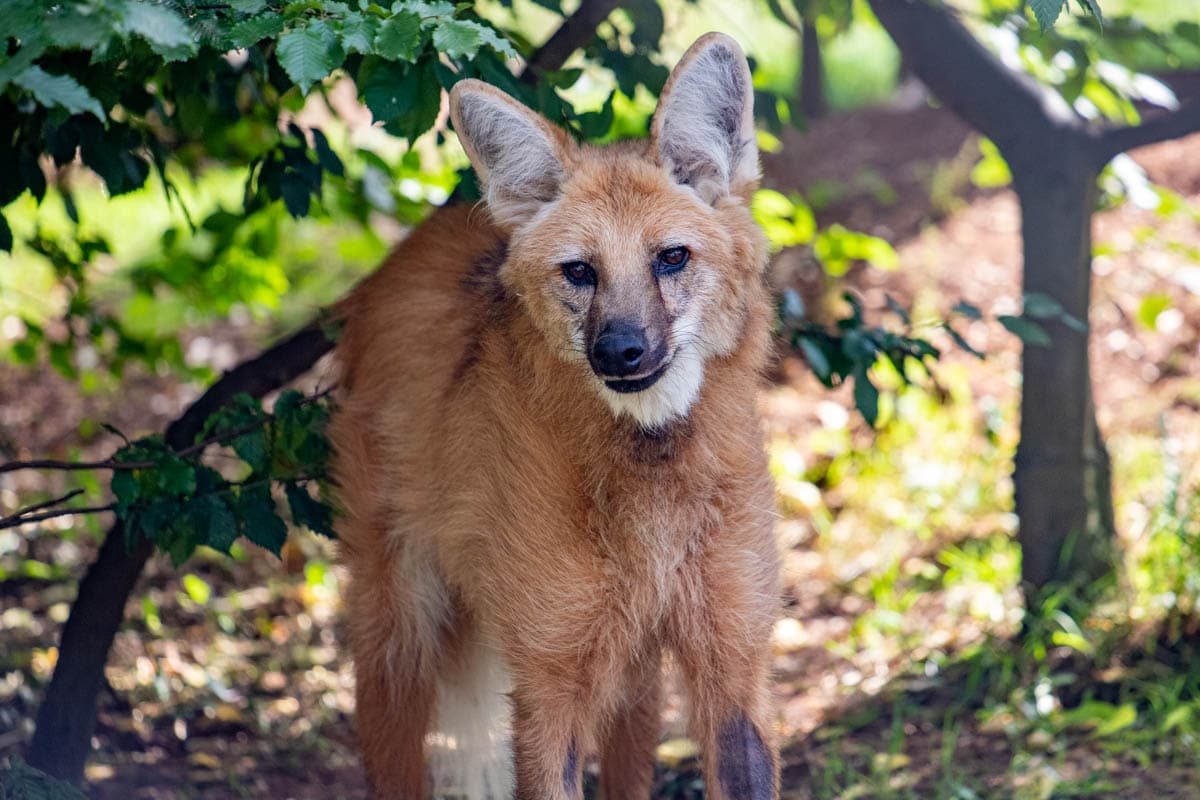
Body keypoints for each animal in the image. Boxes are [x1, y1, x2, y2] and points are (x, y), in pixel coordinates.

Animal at [331, 32, 781, 800]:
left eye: (672, 258)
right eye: (579, 272)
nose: (621, 351)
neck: (651, 479)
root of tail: (403, 251)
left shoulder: (731, 654)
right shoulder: (550, 674)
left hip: (633, 665)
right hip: (402, 619)